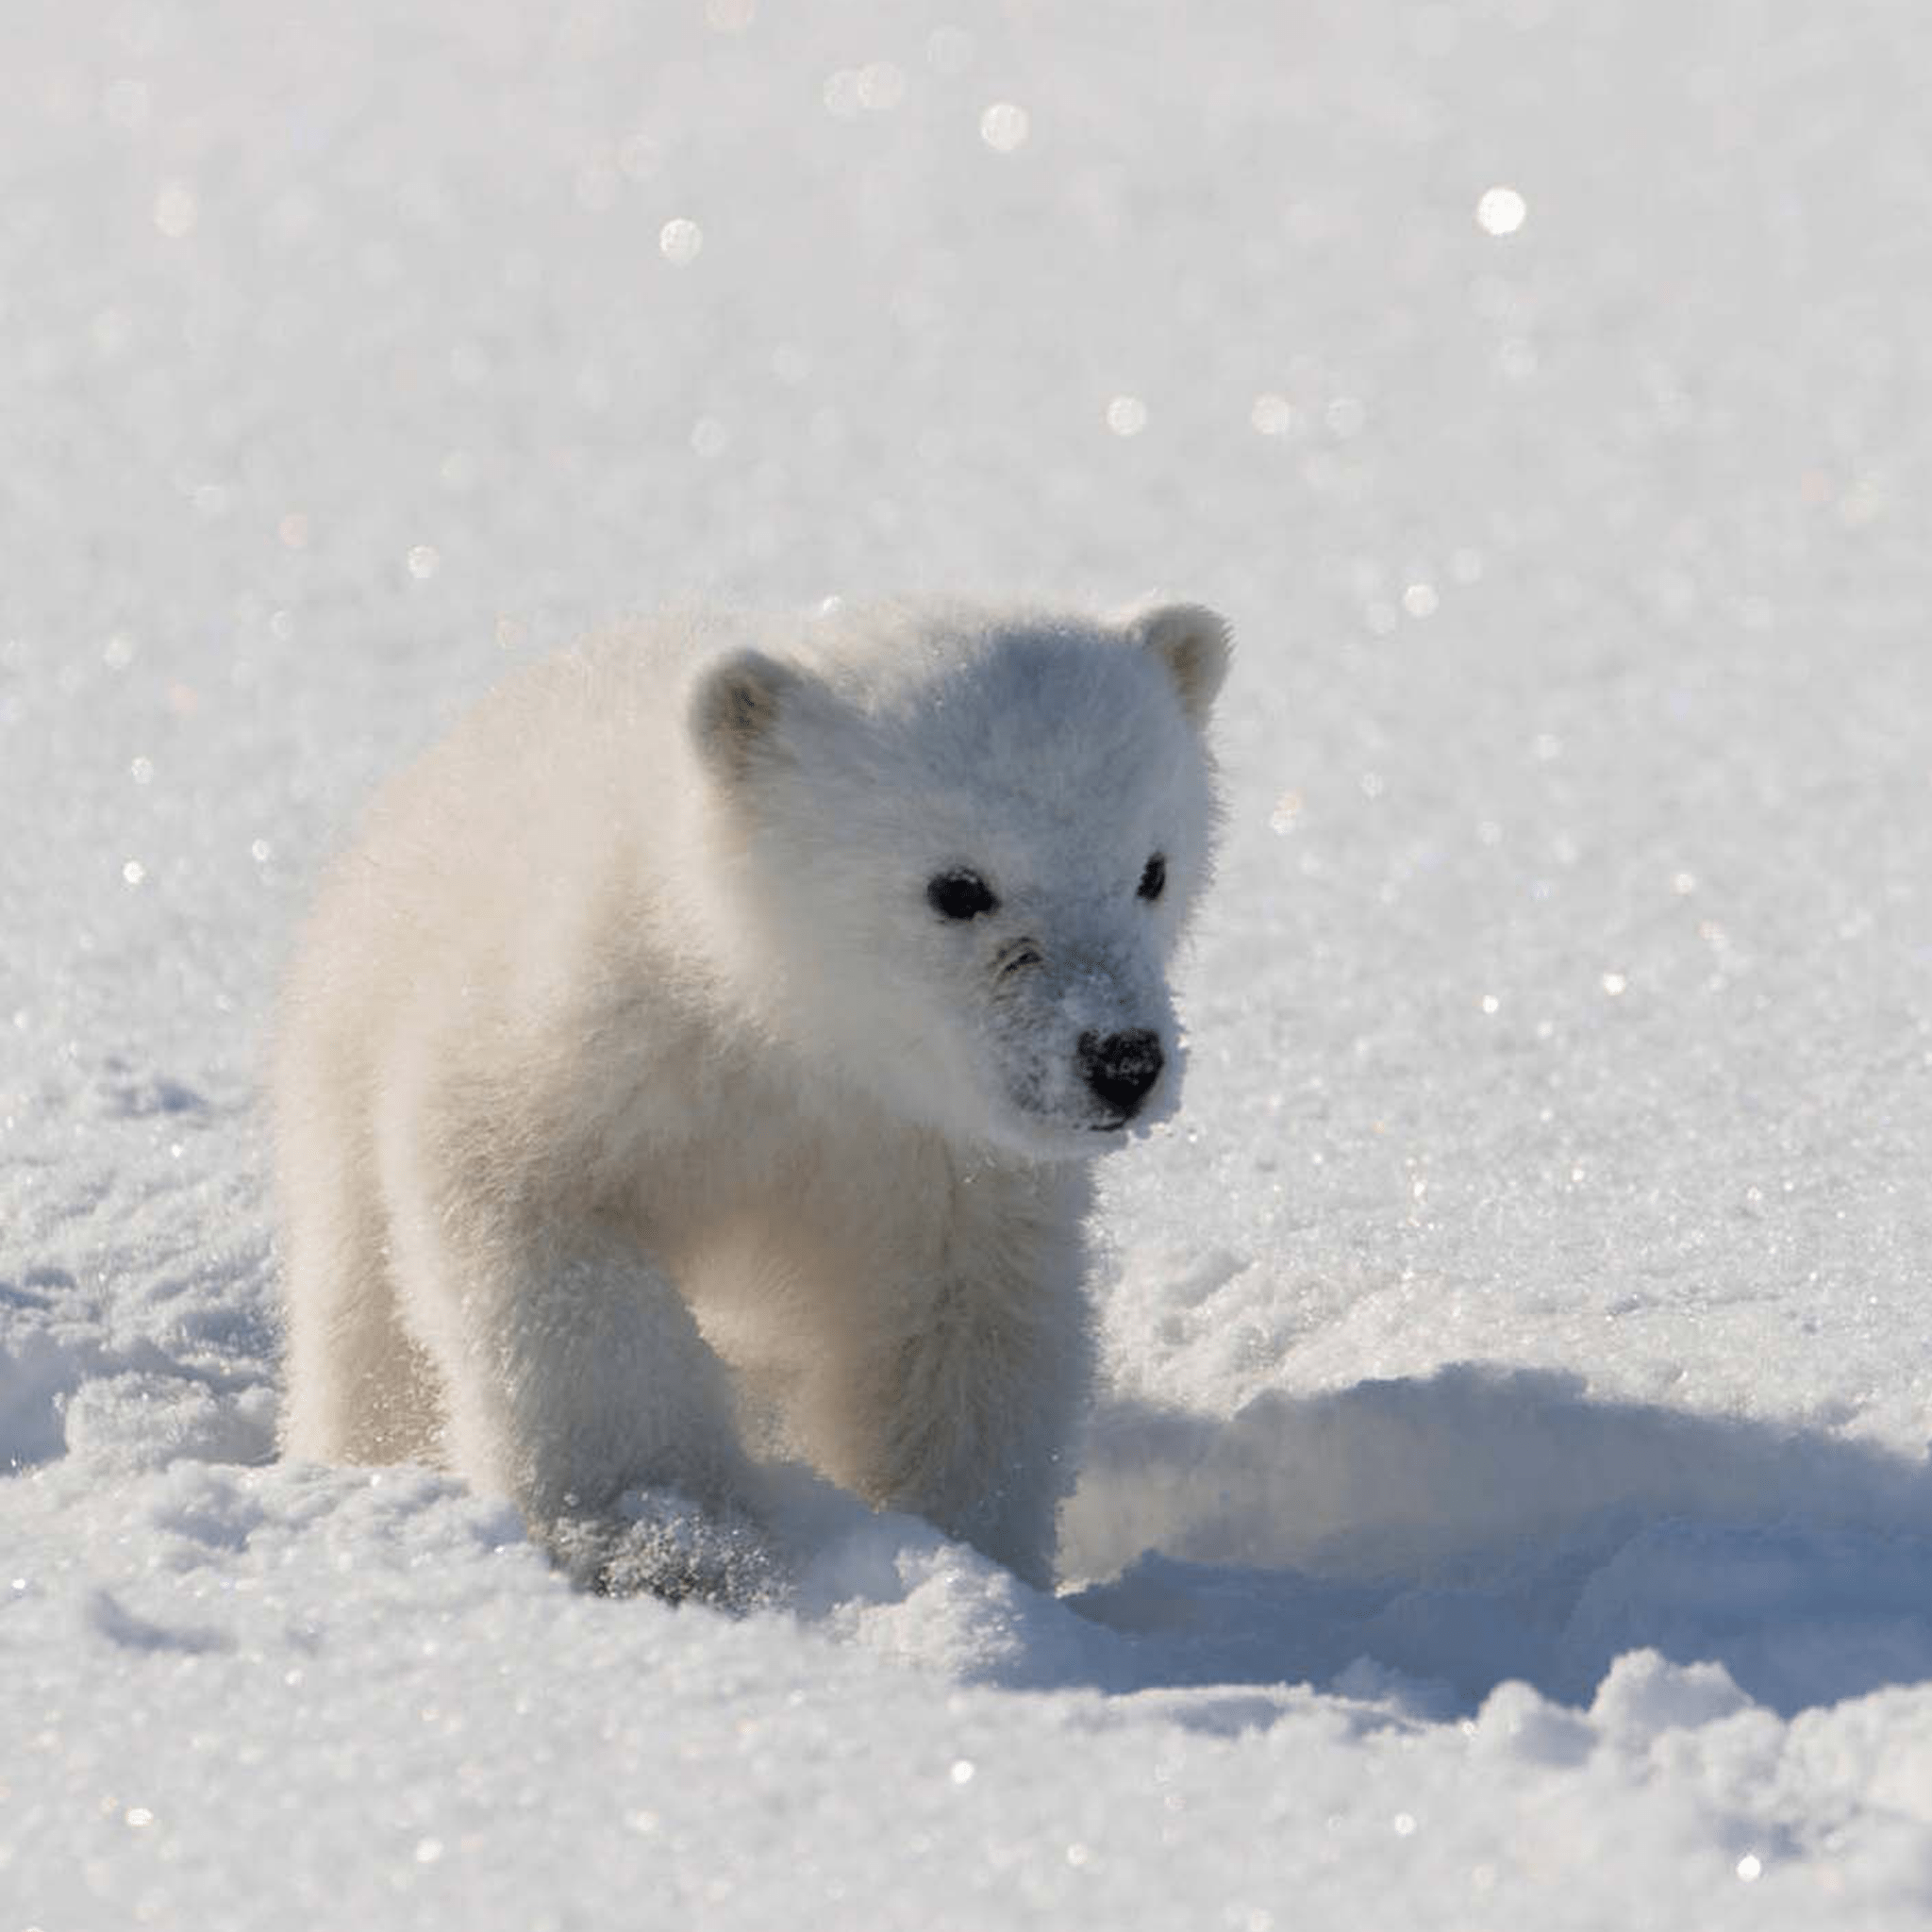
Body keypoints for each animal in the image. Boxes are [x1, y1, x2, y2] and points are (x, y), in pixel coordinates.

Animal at [273, 596, 1229, 1598]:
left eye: (1152, 869)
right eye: (960, 887)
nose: (1122, 1062)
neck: (792, 1029)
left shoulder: (935, 1159)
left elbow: (958, 1334)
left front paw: (961, 1551)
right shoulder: (584, 1054)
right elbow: (545, 1246)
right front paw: (666, 1540)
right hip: (347, 1035)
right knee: (359, 1310)